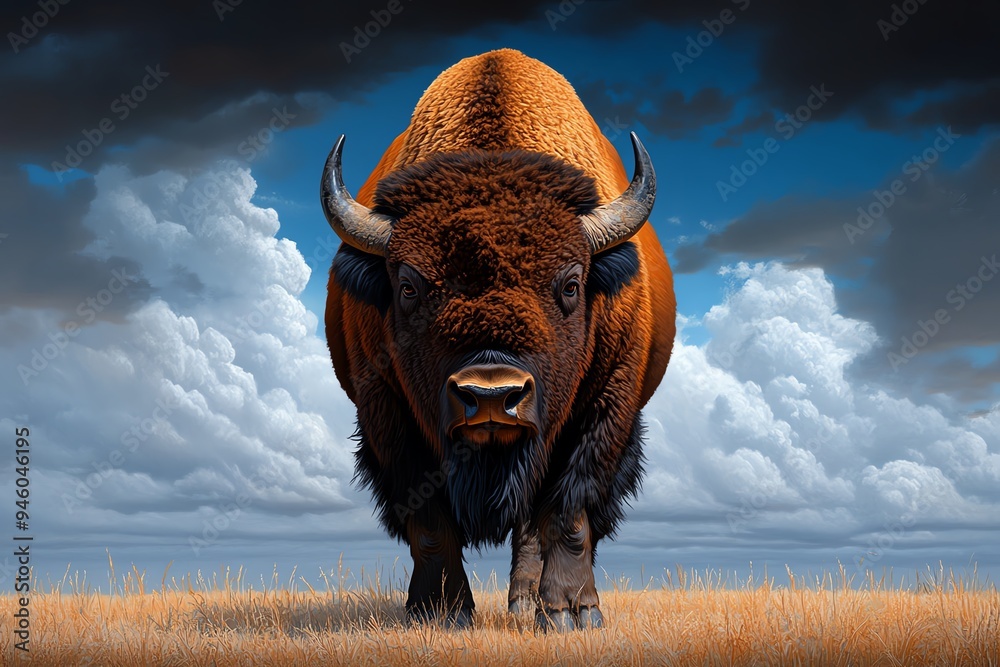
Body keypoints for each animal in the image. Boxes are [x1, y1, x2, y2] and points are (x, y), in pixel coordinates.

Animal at [322, 48, 675, 631]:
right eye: (408, 286)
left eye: (571, 284)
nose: (491, 395)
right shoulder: (386, 415)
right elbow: (429, 520)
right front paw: (439, 611)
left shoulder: (605, 411)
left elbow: (569, 512)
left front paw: (573, 613)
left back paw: (530, 604)